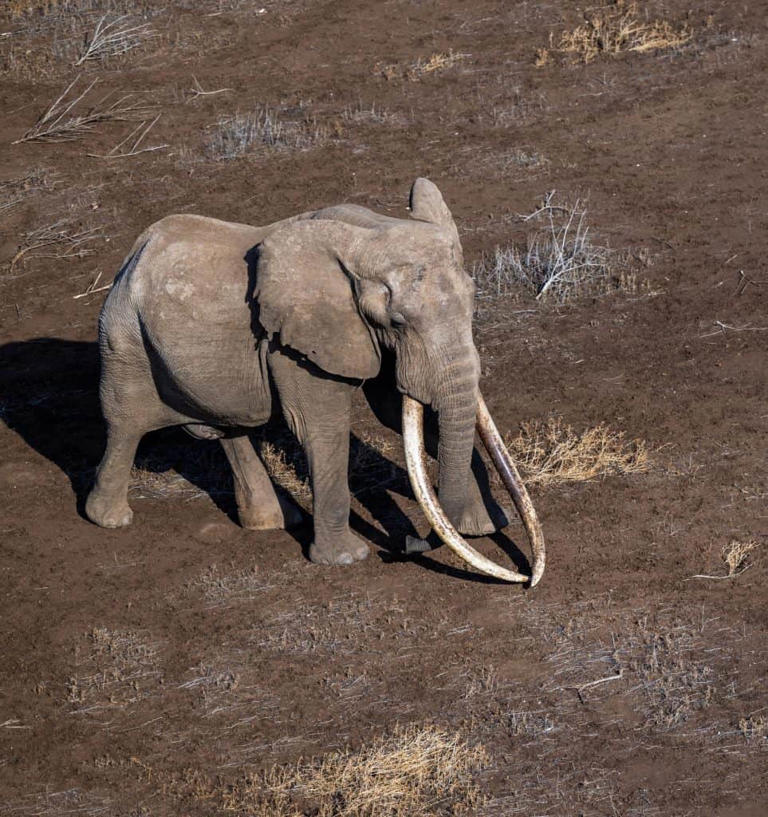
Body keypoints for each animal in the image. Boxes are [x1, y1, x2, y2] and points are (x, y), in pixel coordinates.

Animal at [85, 178, 545, 584]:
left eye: (473, 302)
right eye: (397, 321)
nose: (409, 543)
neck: (370, 231)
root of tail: (134, 253)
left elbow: (403, 412)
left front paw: (483, 527)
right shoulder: (295, 341)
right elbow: (322, 427)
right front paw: (346, 559)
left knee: (231, 428)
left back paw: (272, 521)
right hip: (124, 336)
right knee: (125, 424)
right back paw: (107, 519)